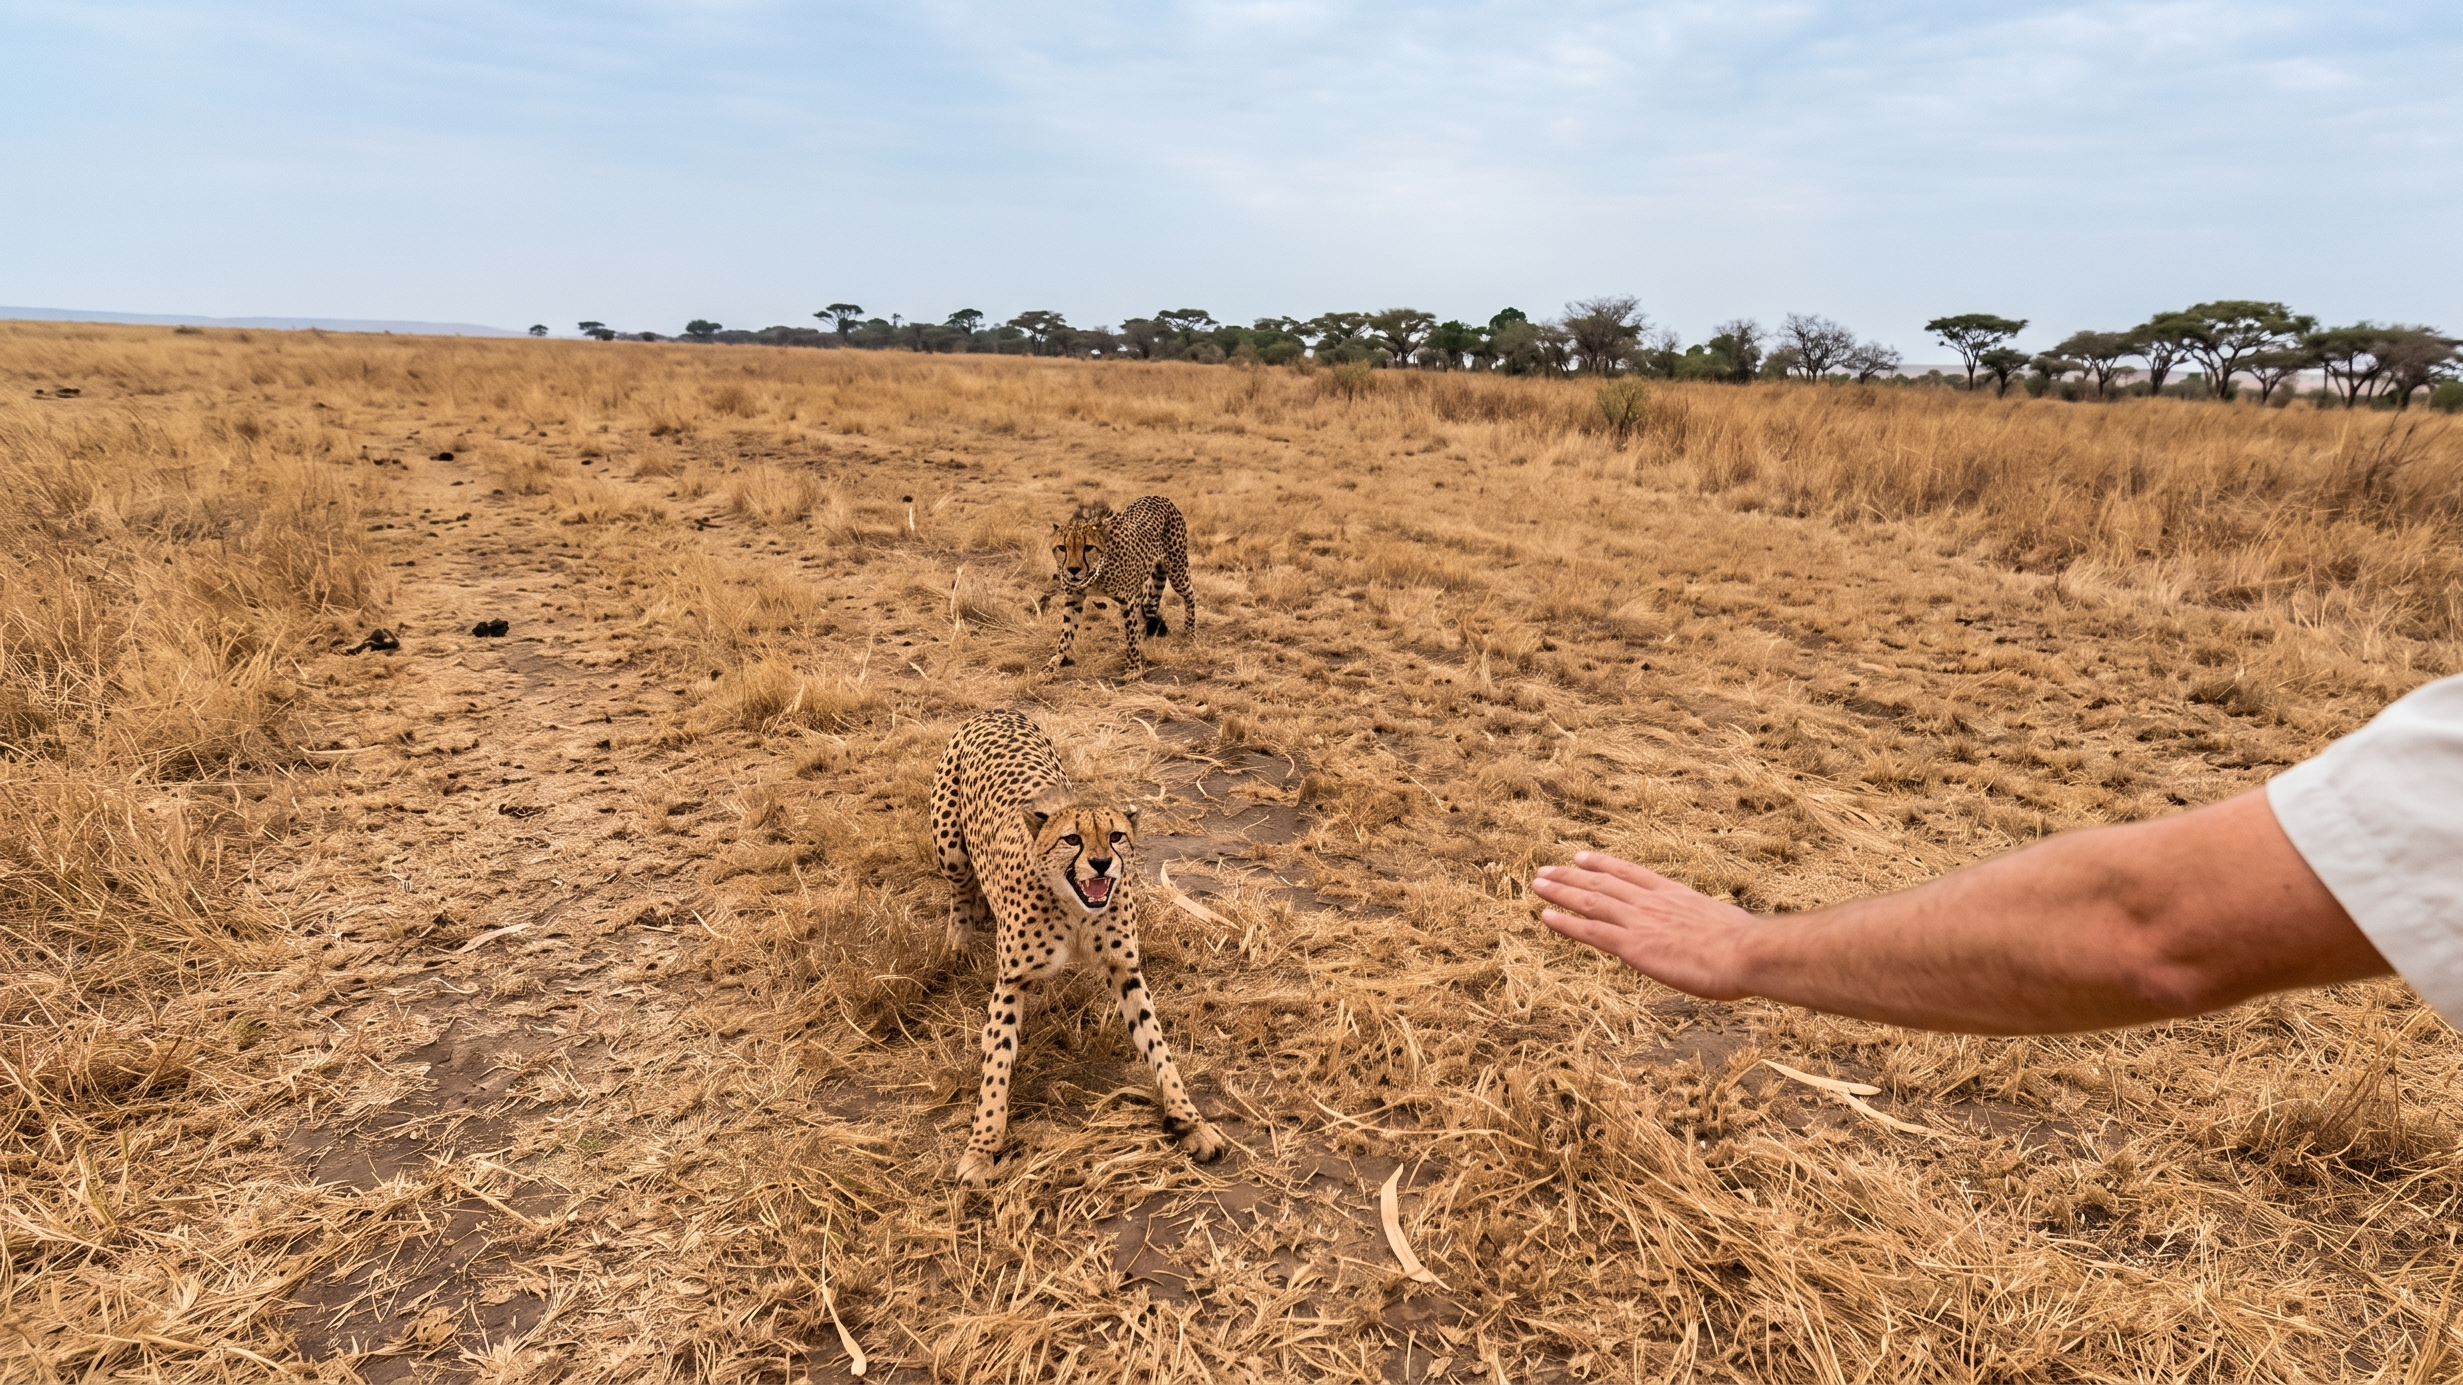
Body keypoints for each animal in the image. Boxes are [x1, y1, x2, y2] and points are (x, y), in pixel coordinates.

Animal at [929, 708, 1226, 1186]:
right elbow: (996, 1068)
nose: (1102, 863)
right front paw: (982, 1147)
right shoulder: (1011, 981)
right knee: (960, 888)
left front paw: (1188, 1119)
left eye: (1117, 836)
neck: (1076, 911)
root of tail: (999, 710)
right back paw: (958, 939)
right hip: (950, 846)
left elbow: (1158, 1047)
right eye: (1072, 839)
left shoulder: (1126, 969)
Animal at [1040, 494, 1195, 676]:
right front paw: (1051, 667)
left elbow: (1131, 633)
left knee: (1190, 594)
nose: (1073, 570)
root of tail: (1159, 497)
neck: (1095, 574)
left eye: (1088, 547)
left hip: (1177, 571)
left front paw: (1134, 668)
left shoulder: (1126, 600)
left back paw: (1190, 632)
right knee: (1147, 605)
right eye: (1062, 548)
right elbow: (1066, 634)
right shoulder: (1074, 598)